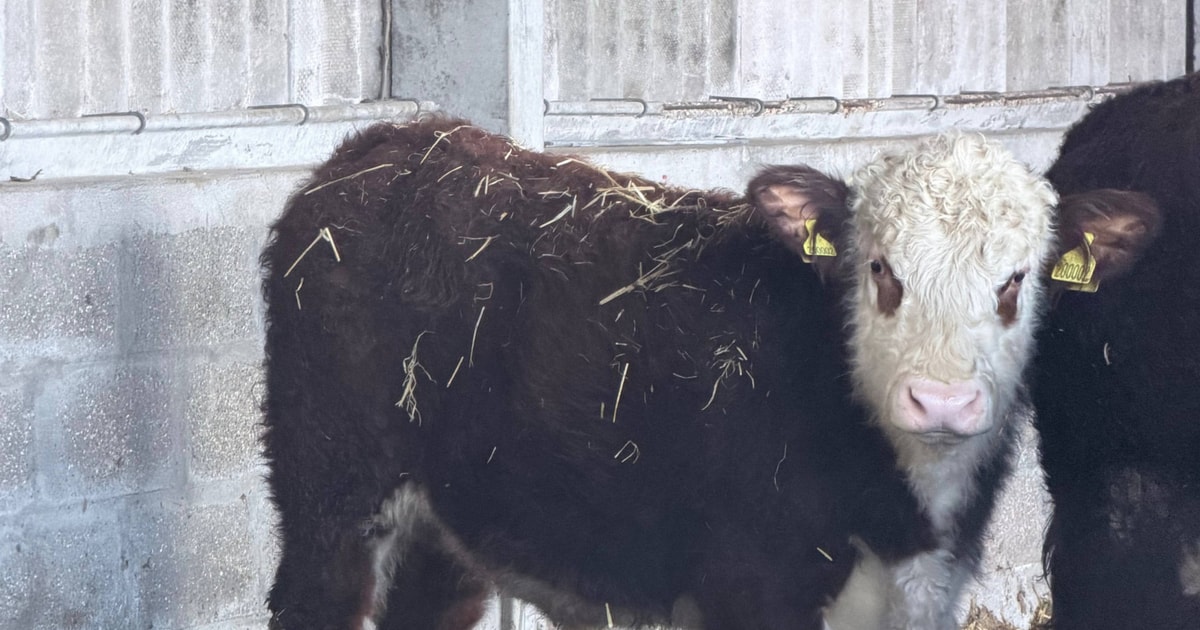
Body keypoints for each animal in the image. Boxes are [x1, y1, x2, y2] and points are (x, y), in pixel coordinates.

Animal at [258, 117, 1101, 630]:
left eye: (1015, 283)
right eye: (880, 269)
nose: (942, 401)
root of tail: (382, 144)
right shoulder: (754, 588)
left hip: (443, 521)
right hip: (330, 490)